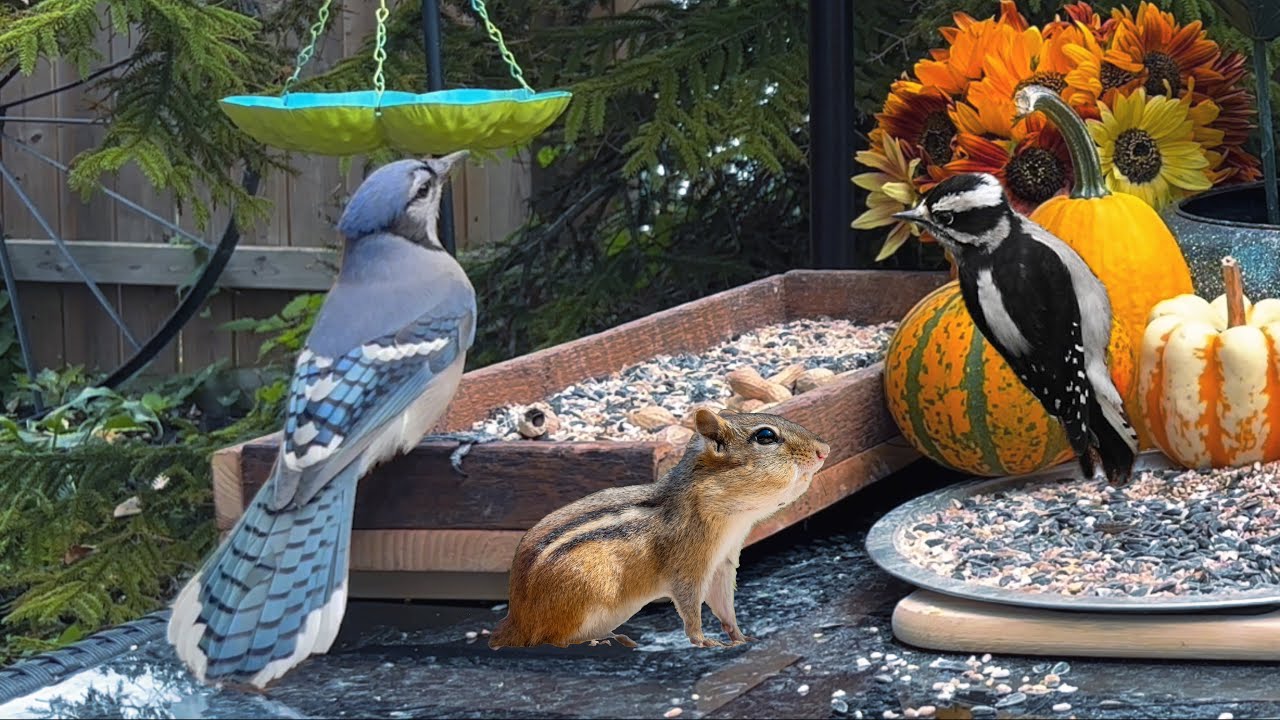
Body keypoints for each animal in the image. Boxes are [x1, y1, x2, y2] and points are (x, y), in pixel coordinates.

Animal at [488, 408, 830, 650]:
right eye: (766, 436)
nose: (824, 449)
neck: (732, 518)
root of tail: (517, 619)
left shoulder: (722, 565)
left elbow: (724, 606)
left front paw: (741, 636)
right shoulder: (688, 566)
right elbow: (690, 606)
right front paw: (704, 641)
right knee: (550, 639)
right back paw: (600, 640)